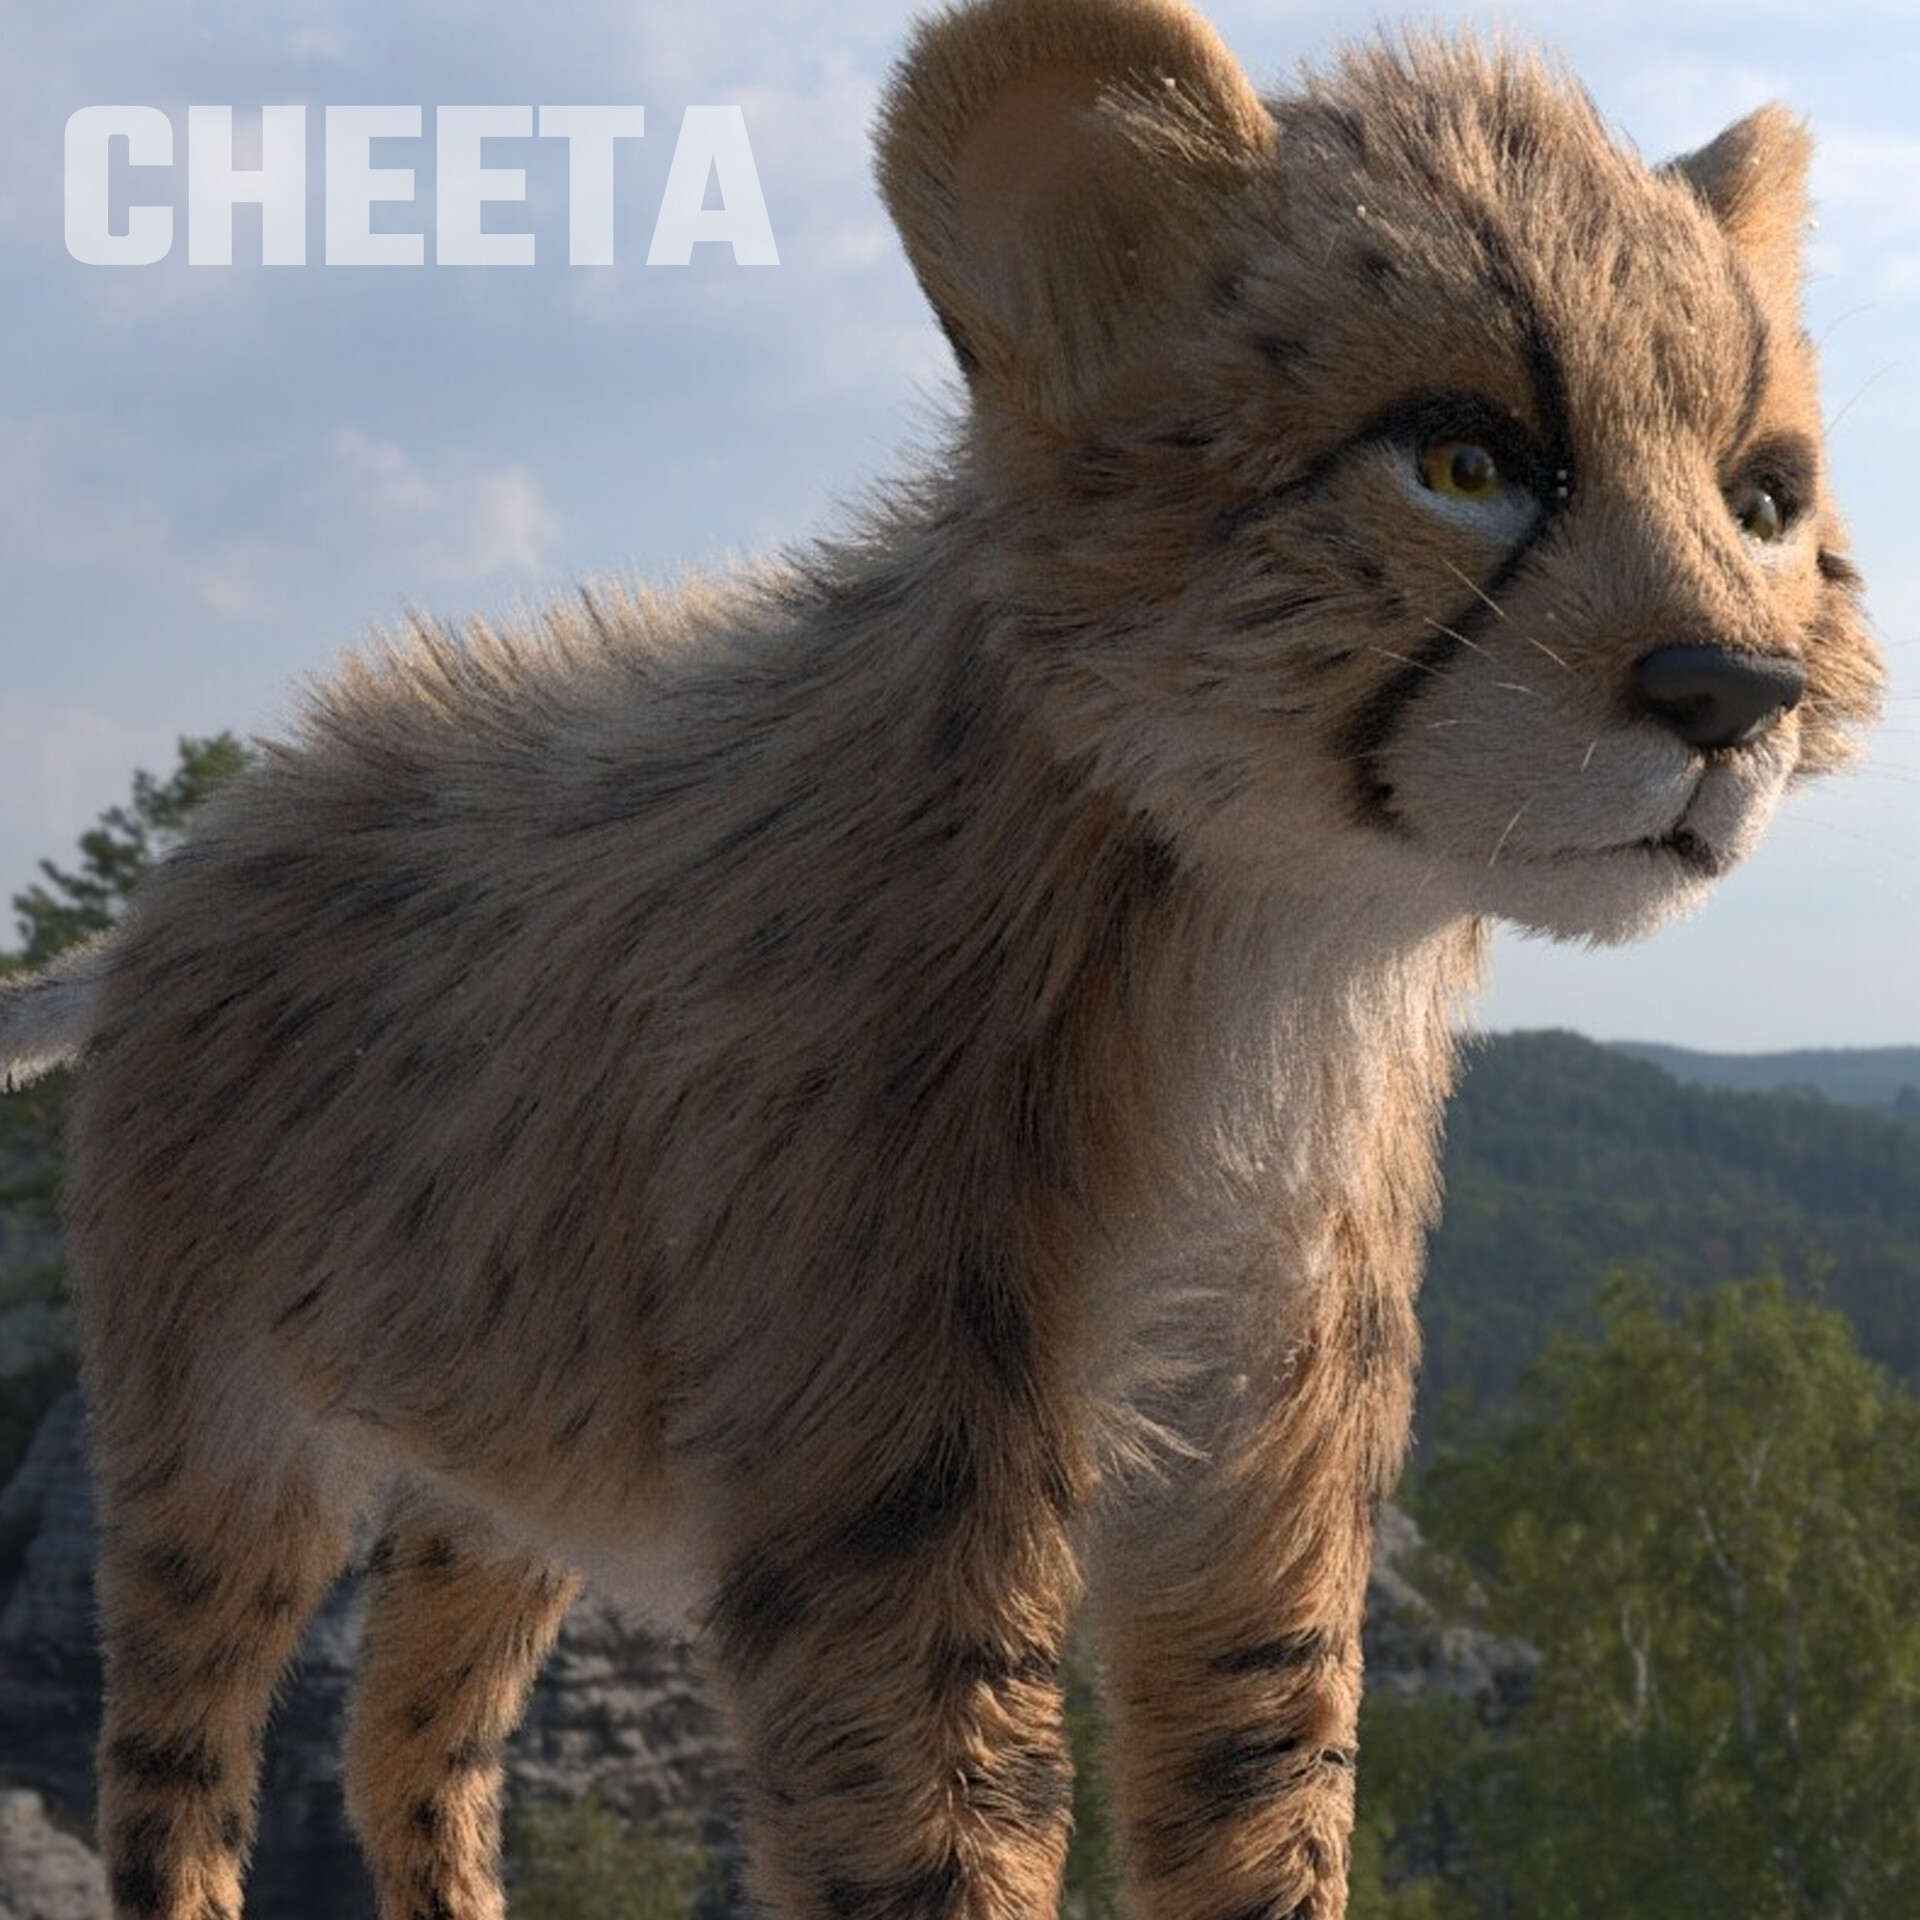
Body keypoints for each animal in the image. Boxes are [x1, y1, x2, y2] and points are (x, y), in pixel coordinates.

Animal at [0, 0, 1882, 1915]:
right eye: (1464, 459)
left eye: (1761, 497)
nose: (1737, 695)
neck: (1267, 942)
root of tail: (188, 862)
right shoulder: (897, 1519)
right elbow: (940, 1843)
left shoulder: (1254, 1493)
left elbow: (1264, 1805)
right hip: (222, 1437)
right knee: (175, 1763)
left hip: (504, 1443)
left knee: (415, 1740)